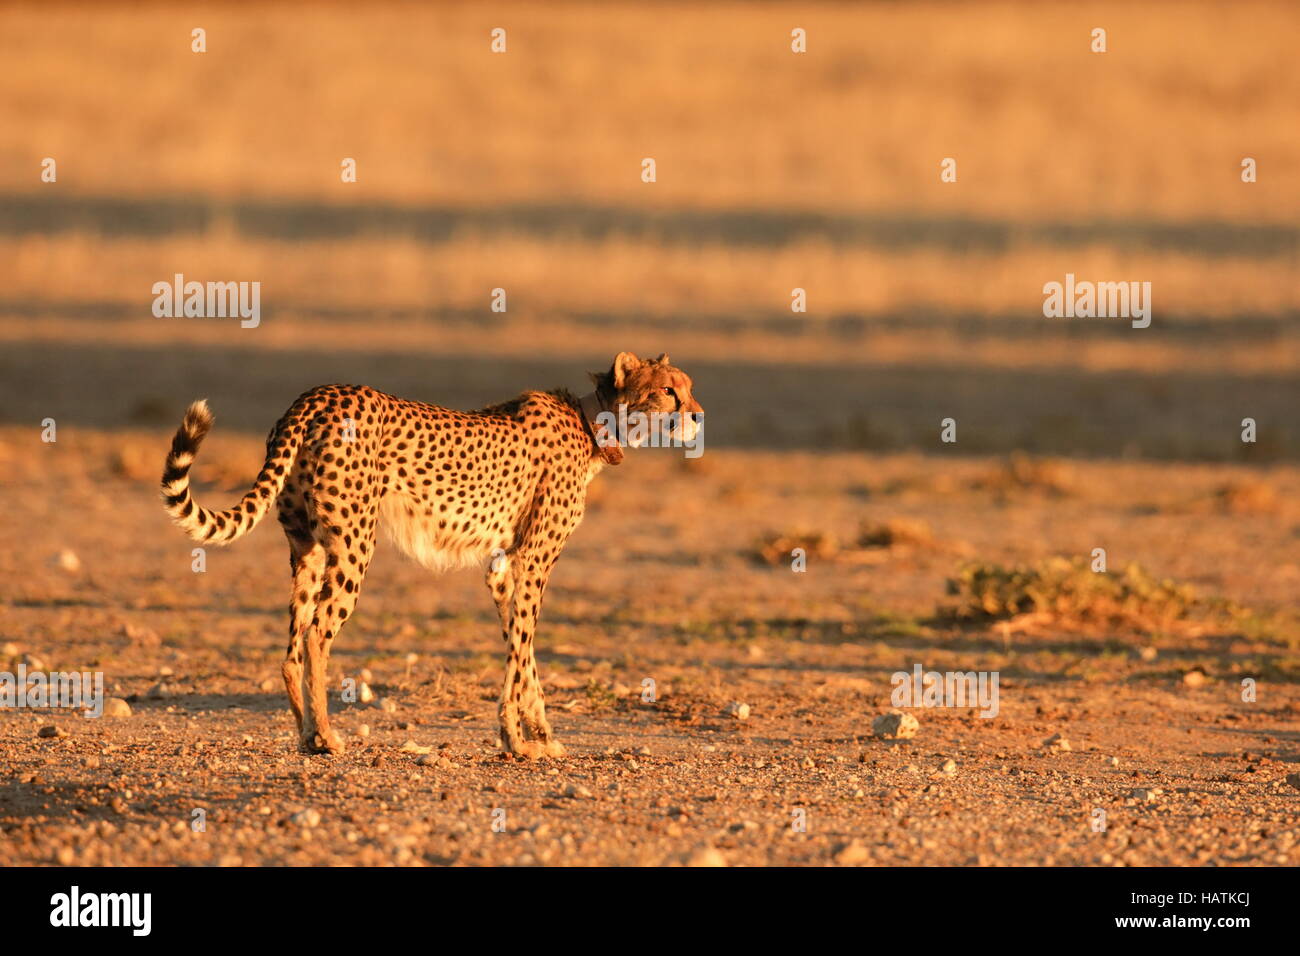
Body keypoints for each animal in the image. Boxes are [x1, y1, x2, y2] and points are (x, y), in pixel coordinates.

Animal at [159, 351, 703, 759]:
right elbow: (522, 651)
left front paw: (540, 735)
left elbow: (522, 653)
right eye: (668, 390)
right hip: (354, 544)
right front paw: (517, 742)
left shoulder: (503, 569)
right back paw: (328, 736)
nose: (698, 415)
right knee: (316, 634)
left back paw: (306, 733)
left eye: (689, 387)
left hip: (306, 547)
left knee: (293, 643)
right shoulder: (532, 563)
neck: (594, 425)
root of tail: (315, 396)